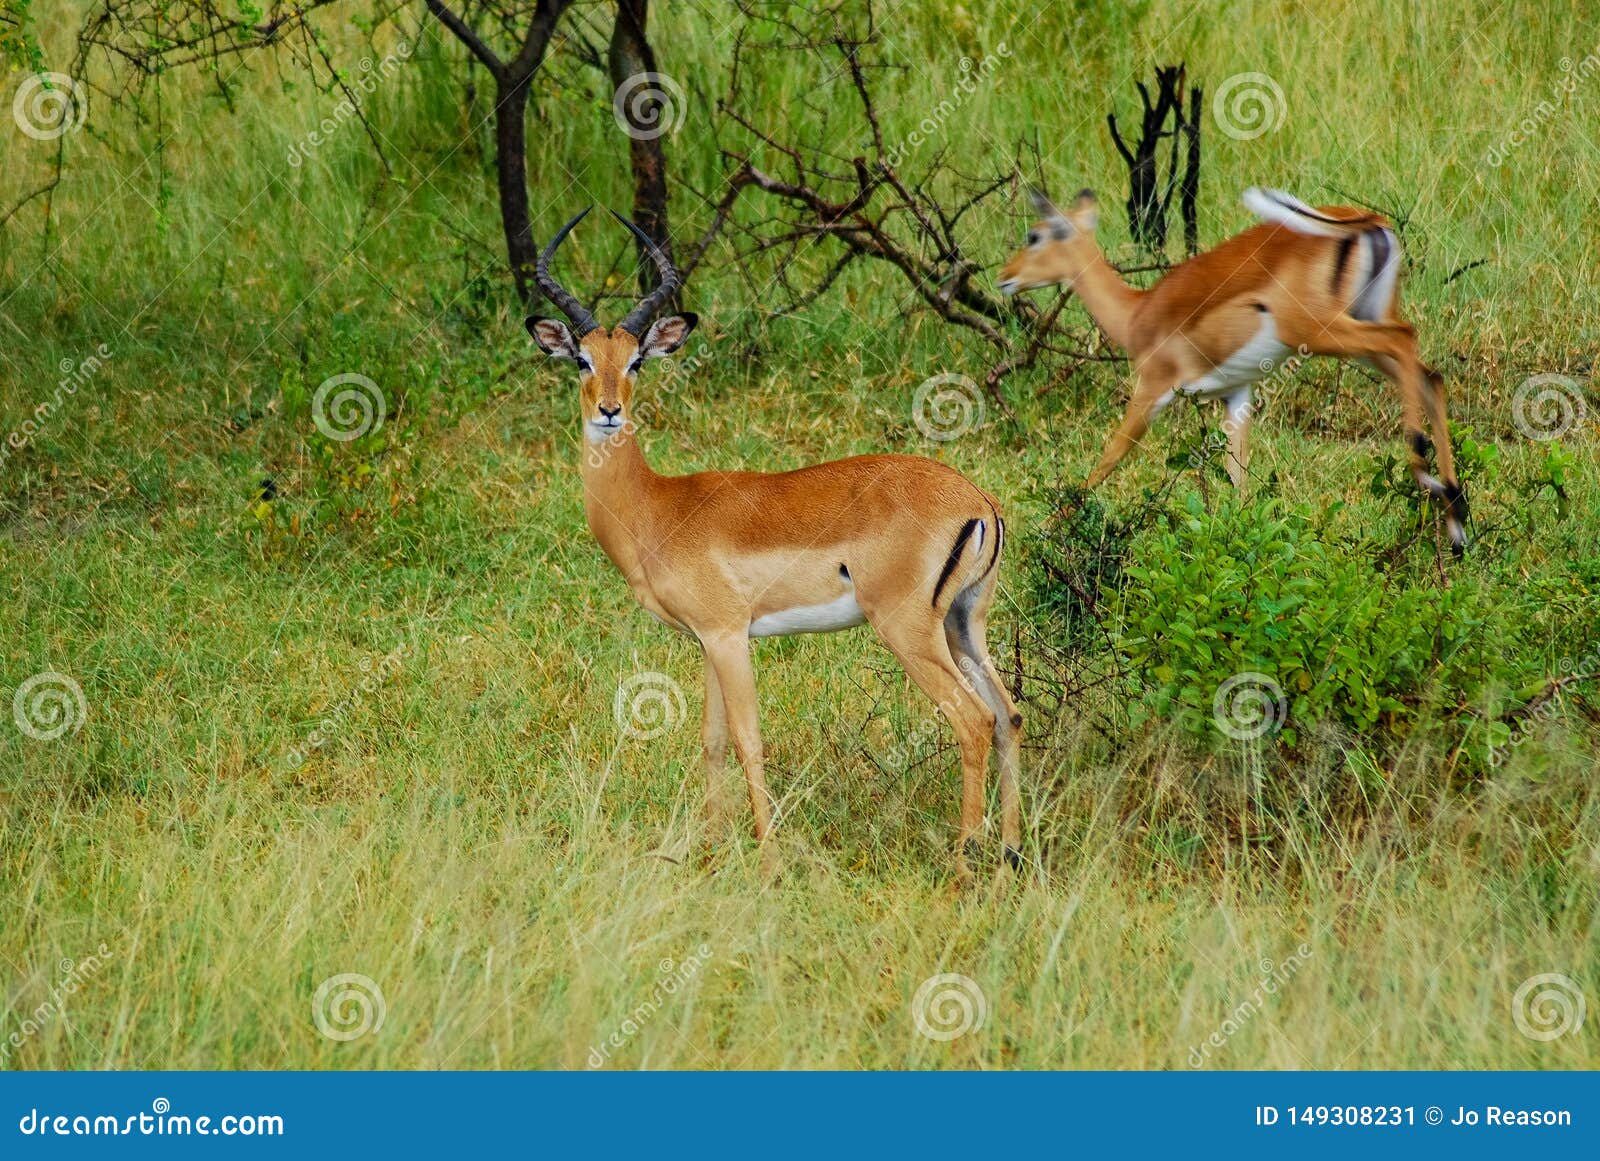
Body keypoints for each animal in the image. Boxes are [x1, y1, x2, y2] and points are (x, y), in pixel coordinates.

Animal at [527, 208, 1023, 880]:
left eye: (635, 362)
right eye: (581, 358)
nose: (608, 411)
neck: (657, 507)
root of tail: (978, 502)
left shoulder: (730, 635)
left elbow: (749, 740)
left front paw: (766, 858)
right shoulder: (707, 640)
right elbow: (711, 742)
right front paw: (711, 853)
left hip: (908, 629)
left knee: (972, 720)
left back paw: (962, 867)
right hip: (964, 623)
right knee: (1008, 714)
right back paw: (1012, 853)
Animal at [998, 187, 1468, 552]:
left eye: (1034, 235)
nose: (1005, 276)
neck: (1135, 313)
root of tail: (1364, 220)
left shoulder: (1151, 389)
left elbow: (1108, 459)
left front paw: (1040, 533)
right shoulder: (1236, 394)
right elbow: (1237, 479)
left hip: (1327, 332)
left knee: (1405, 340)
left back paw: (1424, 471)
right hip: (1361, 328)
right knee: (1430, 375)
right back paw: (1455, 518)